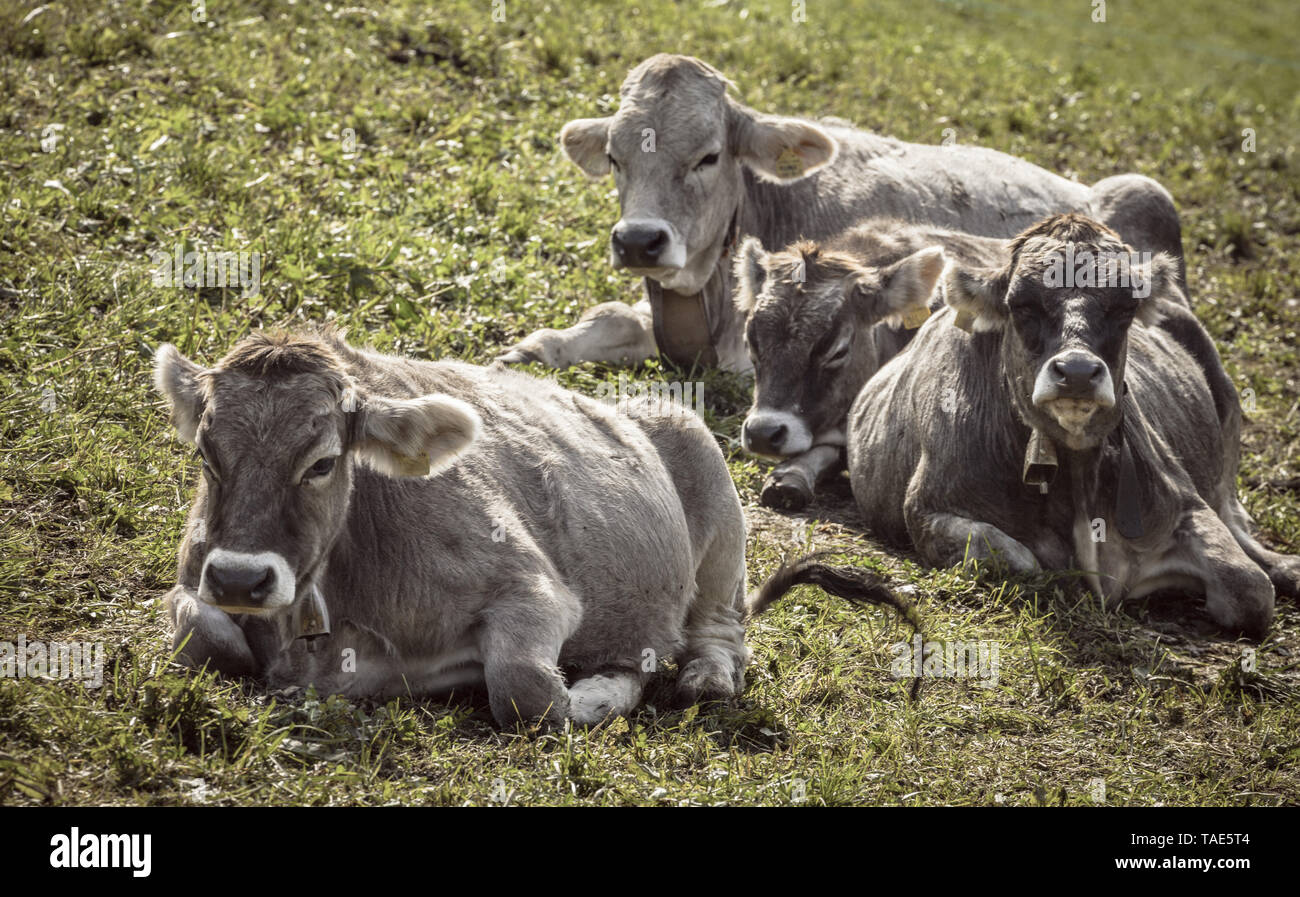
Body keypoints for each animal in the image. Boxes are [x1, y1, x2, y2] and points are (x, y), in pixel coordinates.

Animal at [153, 330, 916, 728]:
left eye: (321, 462)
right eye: (206, 455)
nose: (242, 577)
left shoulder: (537, 590)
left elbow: (526, 688)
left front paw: (597, 693)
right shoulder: (194, 583)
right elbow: (200, 630)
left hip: (716, 510)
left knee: (719, 634)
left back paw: (693, 674)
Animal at [495, 53, 1185, 376]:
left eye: (710, 156)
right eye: (614, 158)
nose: (640, 241)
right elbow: (608, 316)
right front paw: (527, 351)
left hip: (1145, 190)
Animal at [846, 213, 1300, 639]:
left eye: (1125, 309)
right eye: (1022, 305)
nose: (1078, 373)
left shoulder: (1186, 503)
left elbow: (1249, 589)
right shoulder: (928, 509)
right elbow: (1022, 562)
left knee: (1237, 522)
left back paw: (1288, 567)